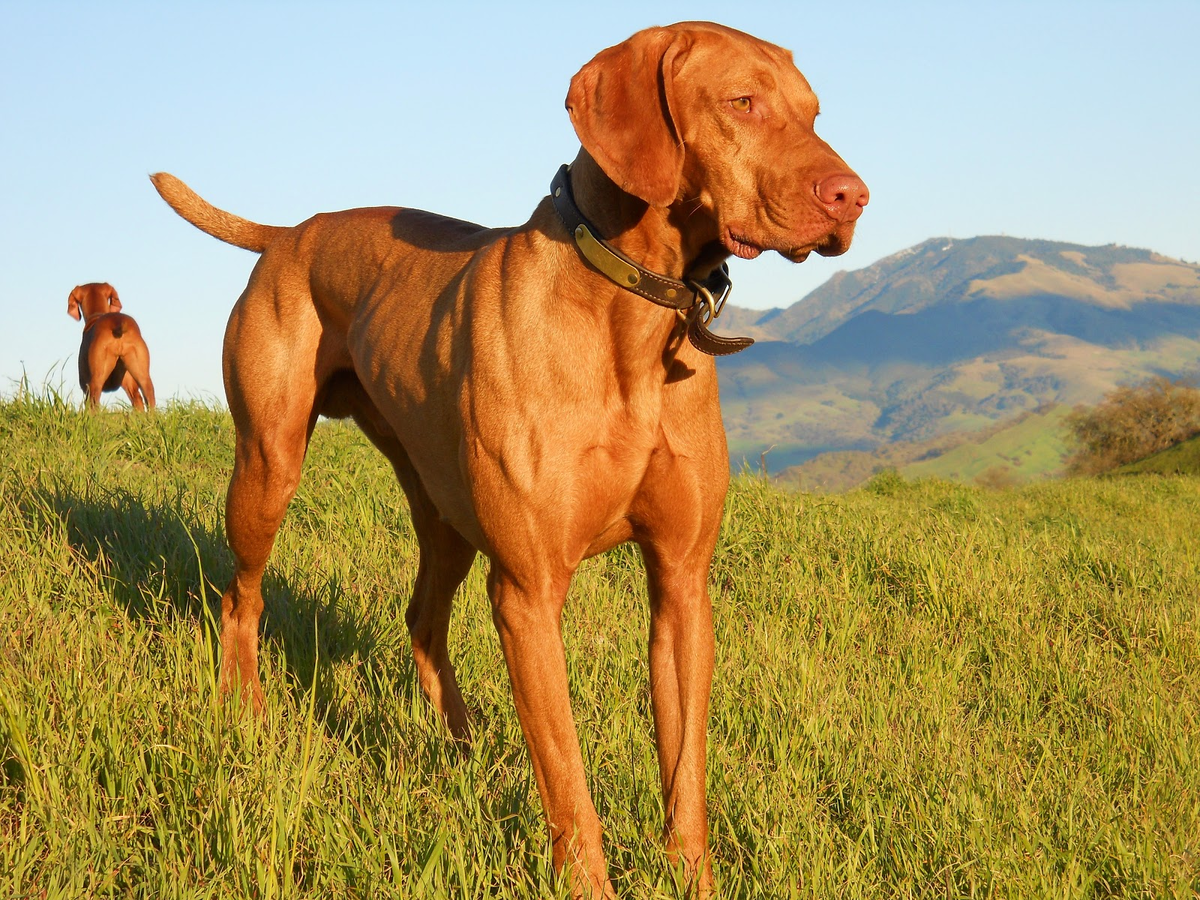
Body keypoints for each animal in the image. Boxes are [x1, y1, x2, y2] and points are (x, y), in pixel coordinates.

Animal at [67, 282, 156, 412]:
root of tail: (117, 323)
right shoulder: (130, 385)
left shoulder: (86, 388)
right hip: (142, 374)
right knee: (148, 397)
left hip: (96, 379)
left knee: (95, 404)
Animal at [152, 22, 864, 900]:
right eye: (743, 102)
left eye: (812, 112)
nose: (854, 197)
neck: (630, 312)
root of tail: (290, 234)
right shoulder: (528, 591)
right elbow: (567, 781)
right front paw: (587, 882)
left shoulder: (682, 584)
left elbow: (685, 773)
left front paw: (688, 875)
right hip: (268, 467)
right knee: (240, 597)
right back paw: (244, 711)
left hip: (445, 513)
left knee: (422, 620)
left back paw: (462, 756)